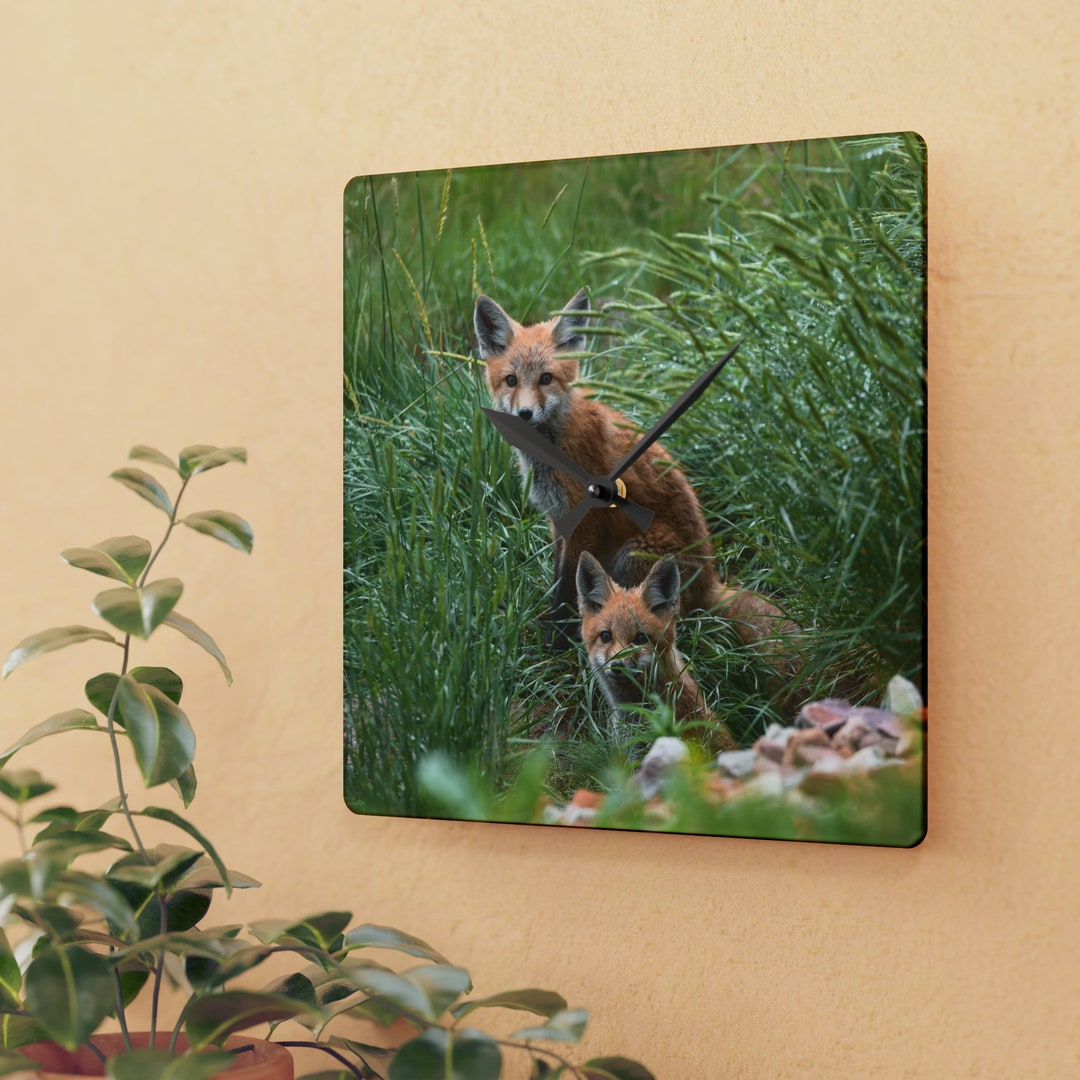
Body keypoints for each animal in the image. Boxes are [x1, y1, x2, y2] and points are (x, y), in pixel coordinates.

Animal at [475, 287, 797, 659]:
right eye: (511, 381)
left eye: (546, 378)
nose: (525, 414)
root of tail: (711, 582)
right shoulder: (558, 520)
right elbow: (559, 580)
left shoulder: (585, 525)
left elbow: (567, 592)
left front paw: (556, 646)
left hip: (633, 553)